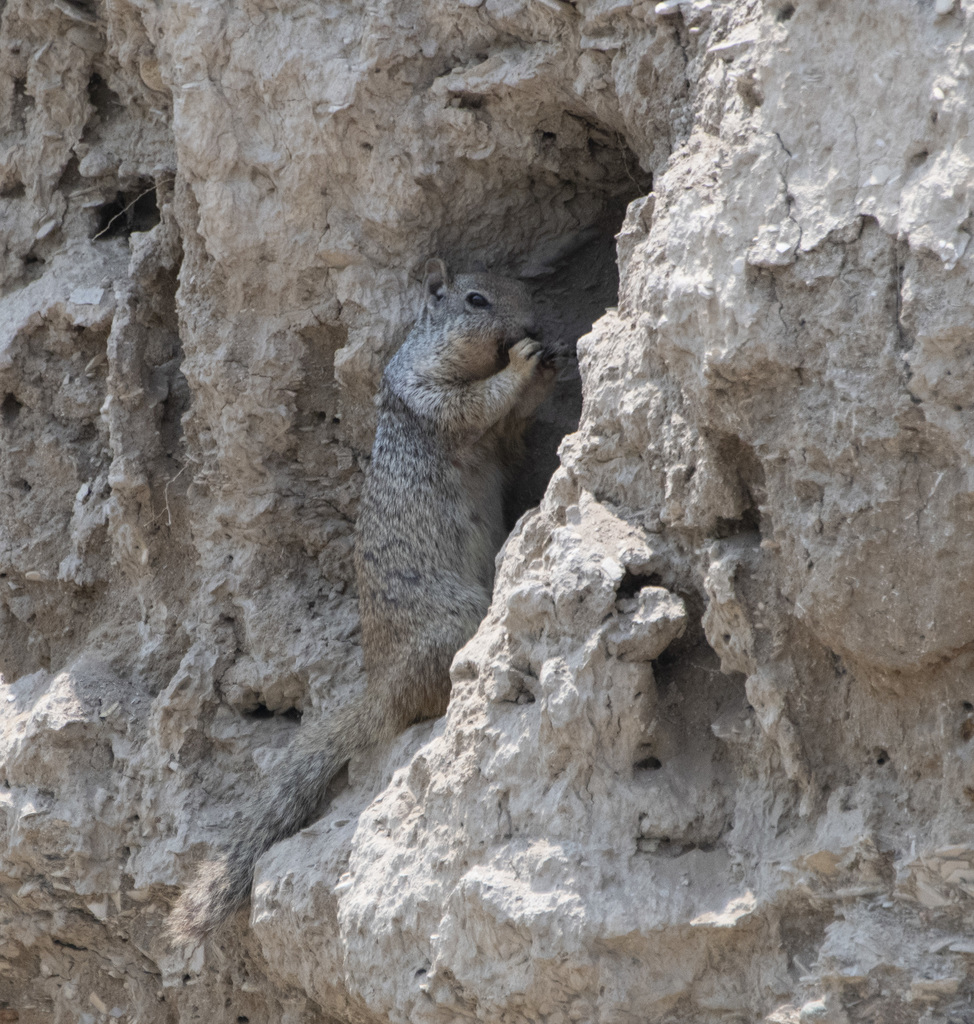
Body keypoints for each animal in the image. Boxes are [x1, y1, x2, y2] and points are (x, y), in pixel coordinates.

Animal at [168, 259, 554, 943]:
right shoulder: (425, 393)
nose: (534, 323)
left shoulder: (500, 436)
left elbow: (508, 431)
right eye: (476, 299)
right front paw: (523, 362)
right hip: (452, 622)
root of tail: (380, 693)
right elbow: (475, 404)